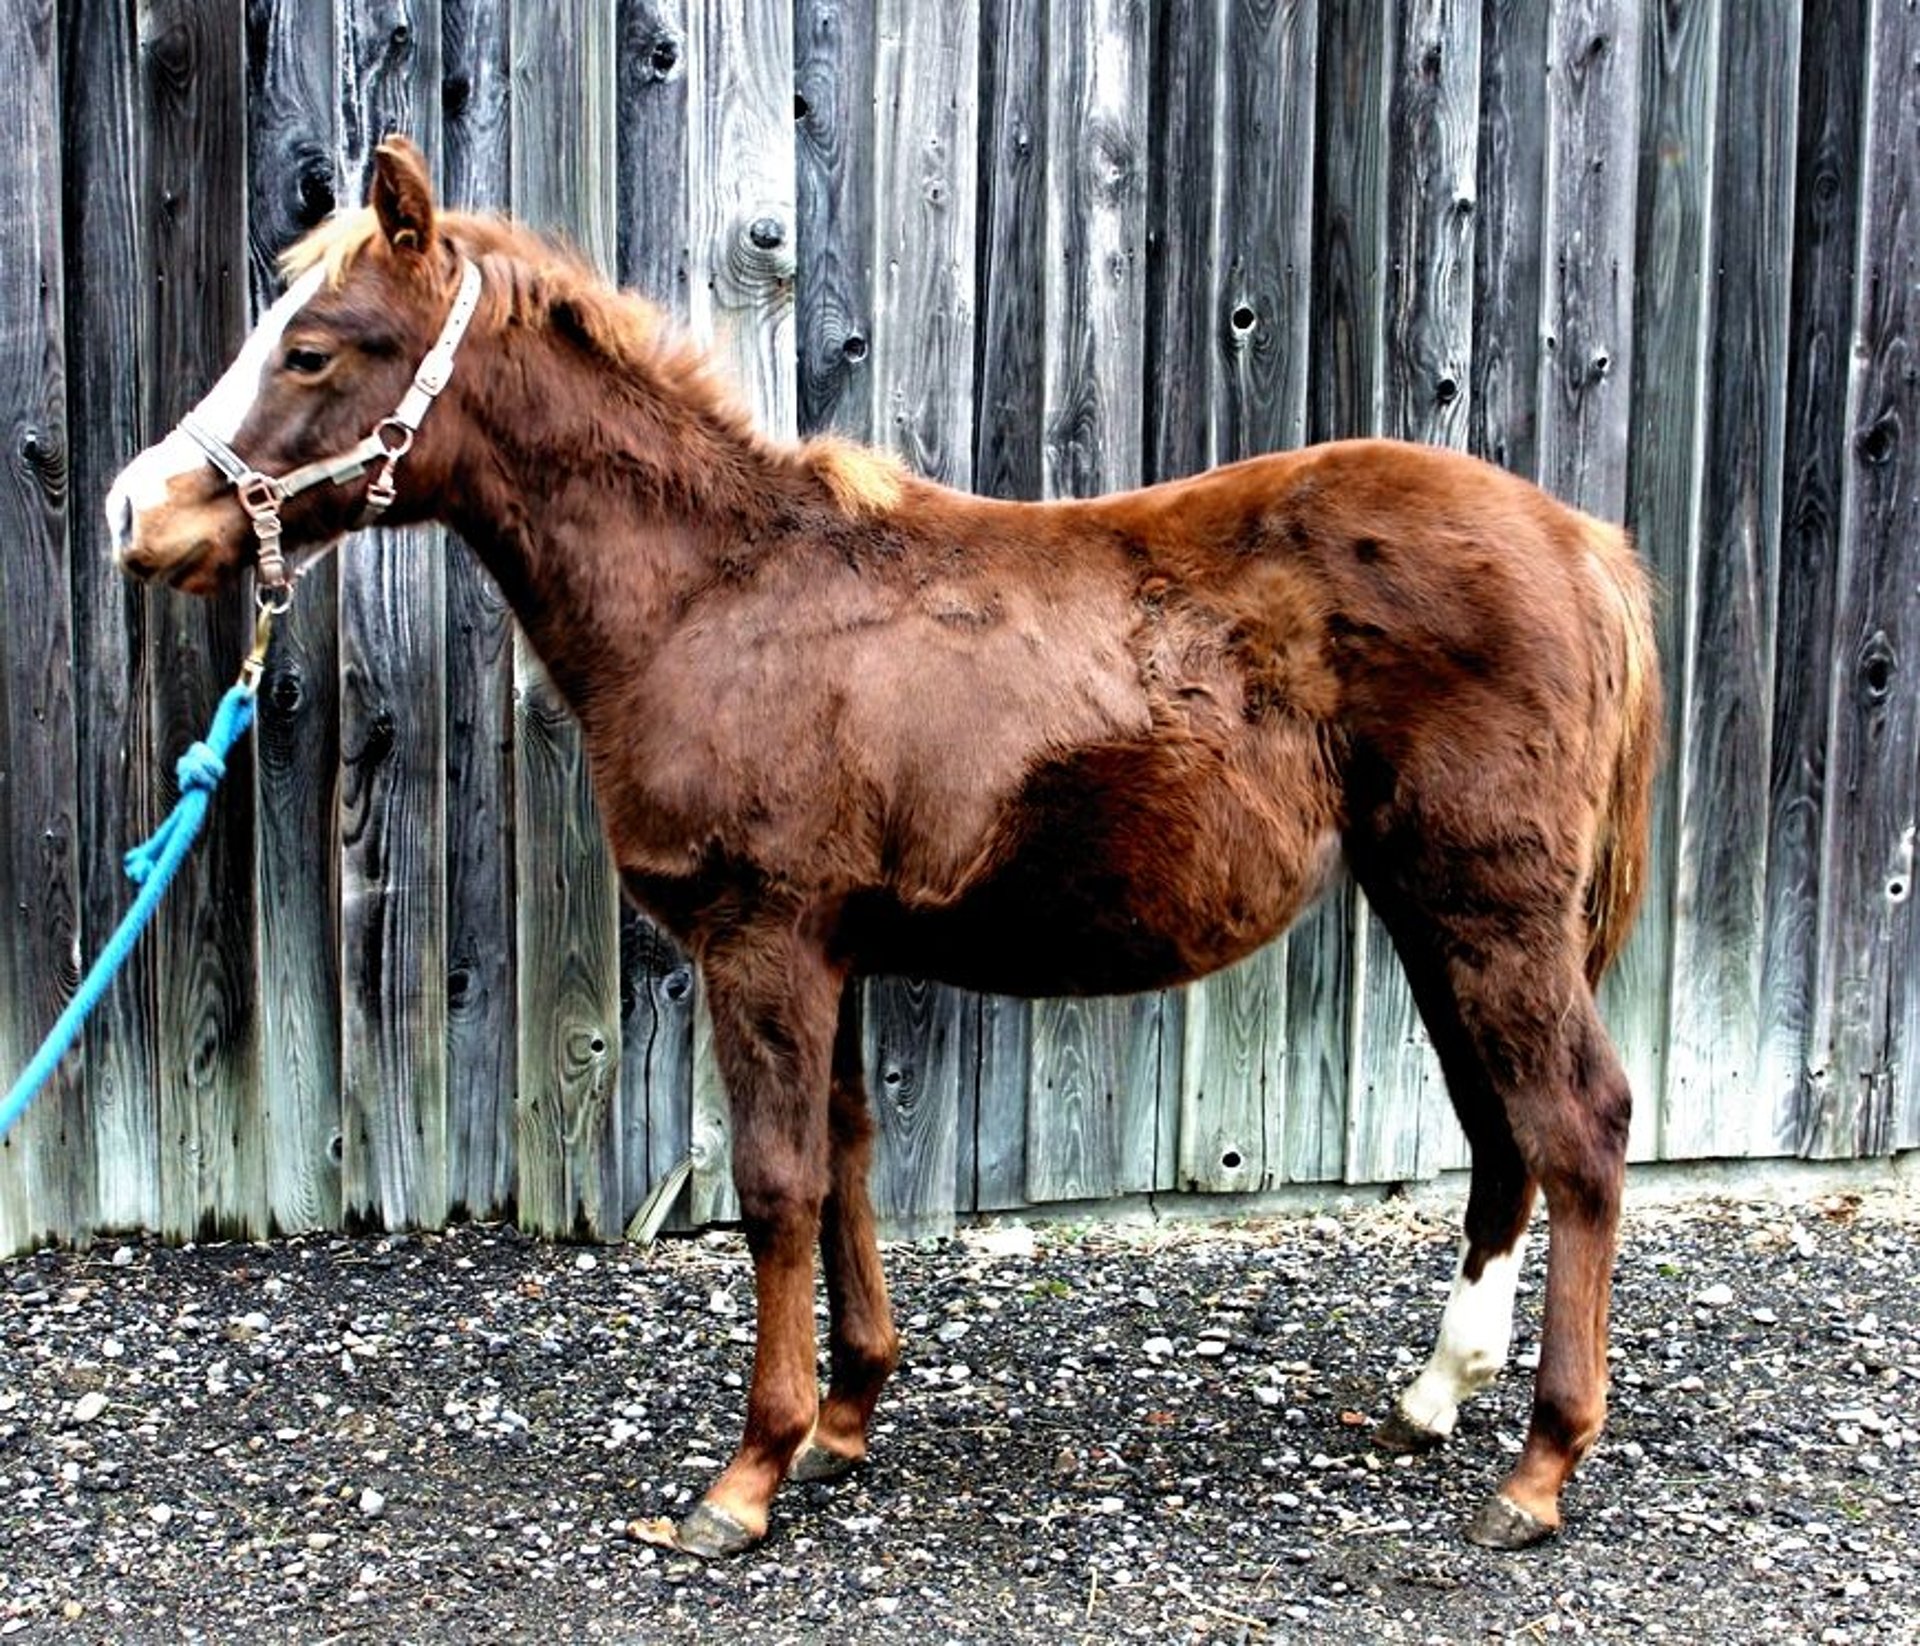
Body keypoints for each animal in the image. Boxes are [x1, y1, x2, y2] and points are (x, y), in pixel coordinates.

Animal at [108, 137, 1660, 1559]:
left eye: (312, 347)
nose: (140, 513)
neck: (712, 595)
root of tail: (1585, 542)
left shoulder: (763, 938)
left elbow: (777, 1182)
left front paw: (746, 1475)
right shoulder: (828, 948)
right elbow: (847, 1153)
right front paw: (847, 1417)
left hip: (1488, 903)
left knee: (1579, 1122)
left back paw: (1538, 1468)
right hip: (1433, 904)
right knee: (1499, 1124)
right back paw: (1434, 1394)